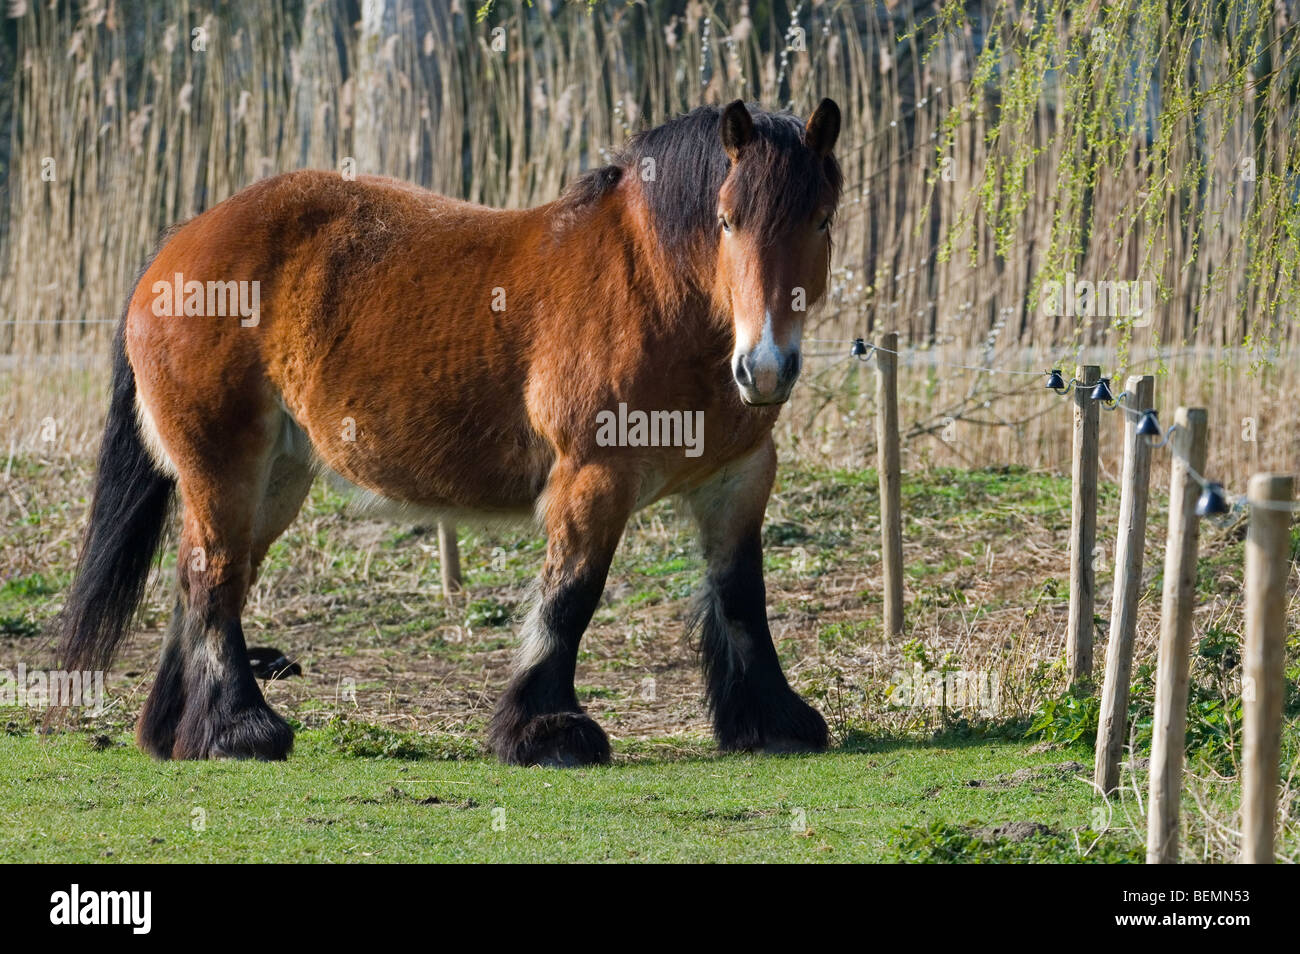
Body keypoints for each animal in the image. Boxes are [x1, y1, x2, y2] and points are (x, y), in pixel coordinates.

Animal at [56, 98, 844, 766]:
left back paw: (175, 731)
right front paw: (546, 730)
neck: (653, 285)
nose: (764, 367)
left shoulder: (738, 478)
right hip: (224, 467)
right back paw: (240, 729)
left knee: (207, 580)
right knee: (213, 578)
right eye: (727, 220)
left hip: (275, 478)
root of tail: (175, 250)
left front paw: (772, 719)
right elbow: (571, 597)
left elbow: (740, 594)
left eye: (823, 220)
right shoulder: (594, 478)